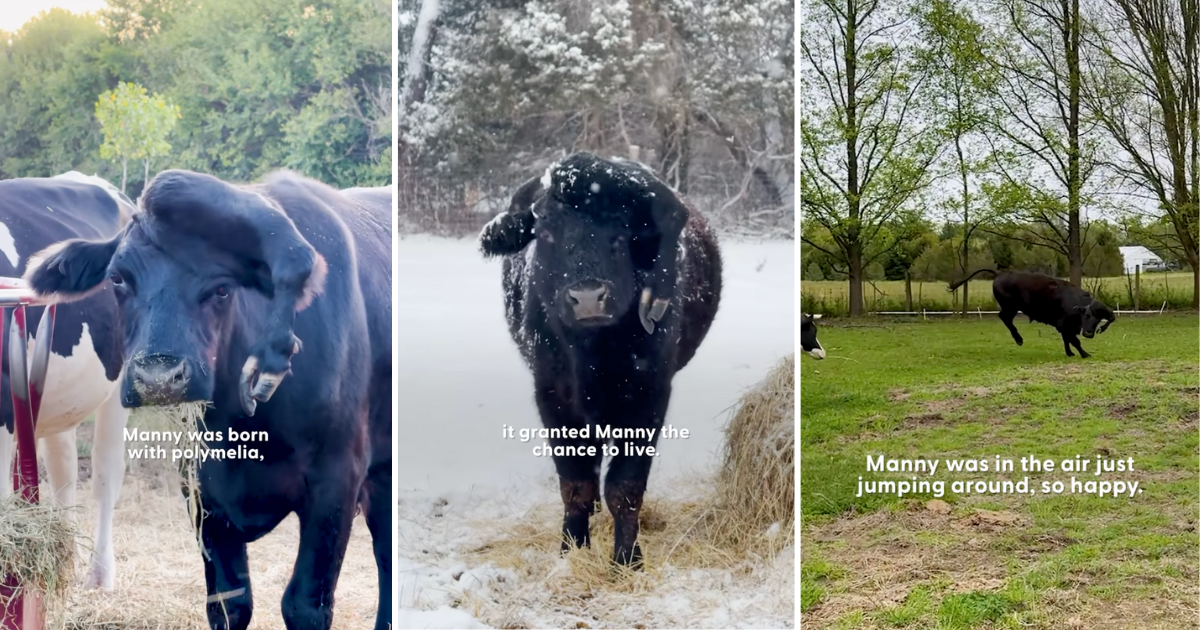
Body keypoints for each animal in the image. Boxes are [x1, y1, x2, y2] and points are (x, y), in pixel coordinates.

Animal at [24, 170, 392, 630]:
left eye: (221, 287)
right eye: (119, 278)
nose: (158, 378)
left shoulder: (337, 480)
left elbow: (306, 605)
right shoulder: (201, 490)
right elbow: (229, 603)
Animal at [477, 152, 721, 569]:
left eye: (621, 232)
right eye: (546, 231)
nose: (588, 297)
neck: (594, 354)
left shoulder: (648, 396)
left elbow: (625, 488)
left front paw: (627, 559)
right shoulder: (554, 397)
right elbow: (575, 483)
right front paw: (571, 550)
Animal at [949, 269, 1115, 358]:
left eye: (1098, 319)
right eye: (1086, 316)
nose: (1088, 333)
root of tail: (1000, 274)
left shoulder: (1065, 328)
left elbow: (1067, 340)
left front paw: (1070, 353)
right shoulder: (1064, 326)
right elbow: (1074, 341)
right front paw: (1085, 354)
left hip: (1011, 308)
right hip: (1010, 307)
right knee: (1004, 318)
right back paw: (1019, 339)